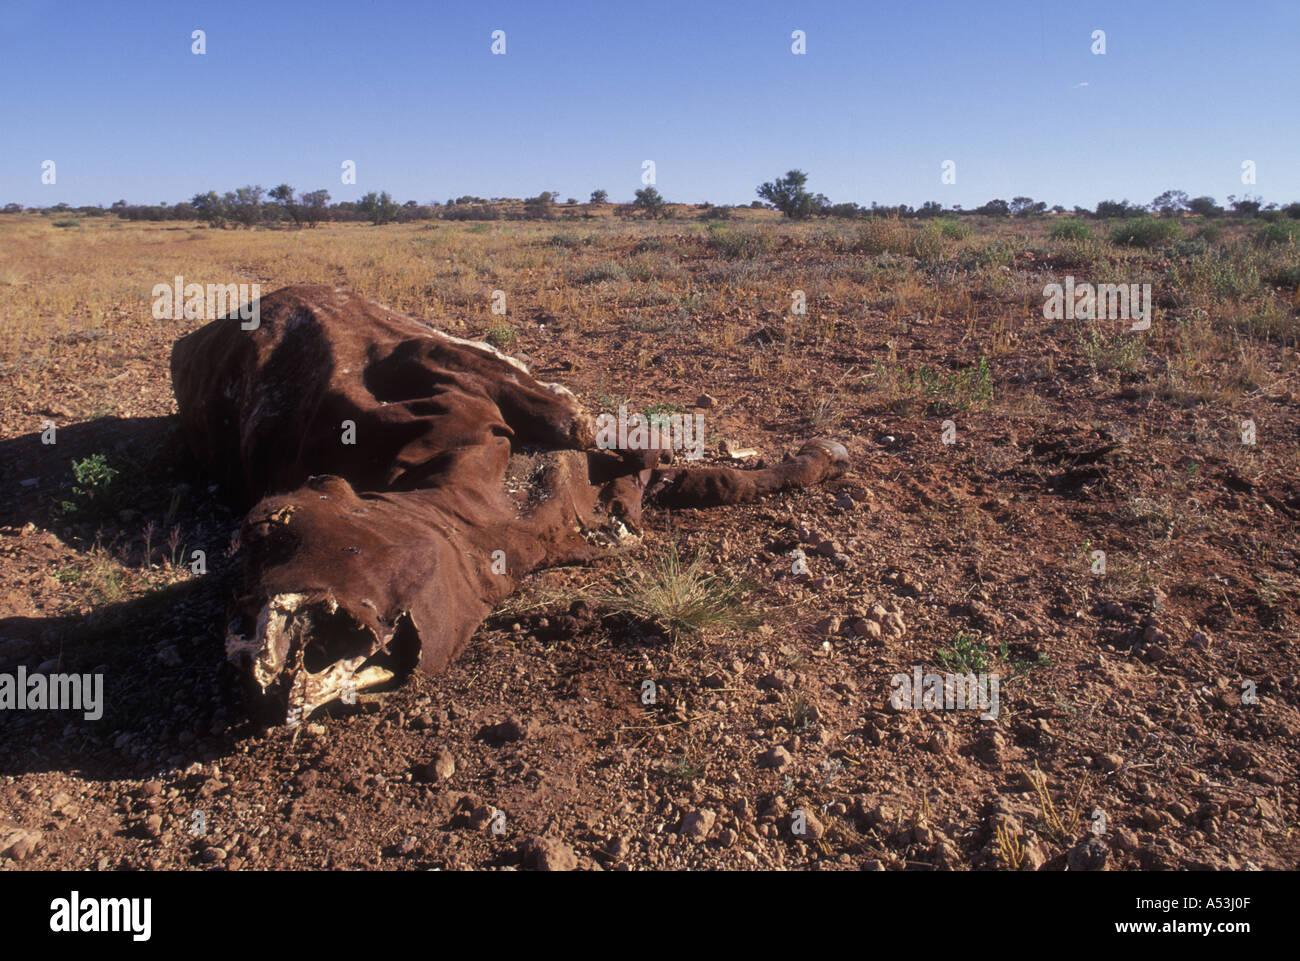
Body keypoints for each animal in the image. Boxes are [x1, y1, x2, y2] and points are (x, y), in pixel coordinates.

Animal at [171, 285, 849, 722]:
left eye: (269, 527)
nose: (245, 652)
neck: (486, 523)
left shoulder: (445, 375)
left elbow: (607, 437)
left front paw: (820, 456)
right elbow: (647, 471)